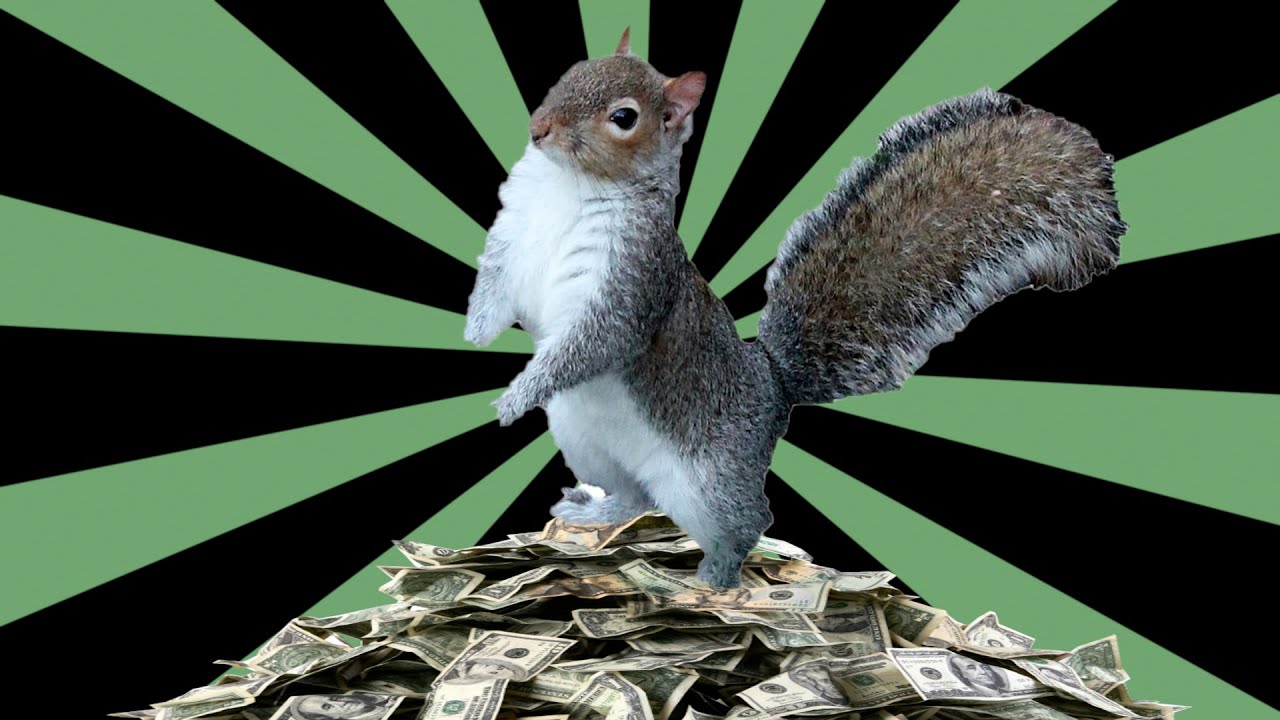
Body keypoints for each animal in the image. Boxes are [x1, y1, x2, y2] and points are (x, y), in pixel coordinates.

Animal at [464, 29, 1125, 589]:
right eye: (573, 71)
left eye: (624, 118)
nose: (540, 127)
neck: (568, 189)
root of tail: (774, 387)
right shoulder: (512, 243)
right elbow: (496, 289)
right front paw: (476, 334)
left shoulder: (635, 279)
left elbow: (596, 340)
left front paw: (516, 395)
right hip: (586, 442)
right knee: (637, 496)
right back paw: (599, 513)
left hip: (710, 482)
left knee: (747, 522)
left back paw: (715, 581)